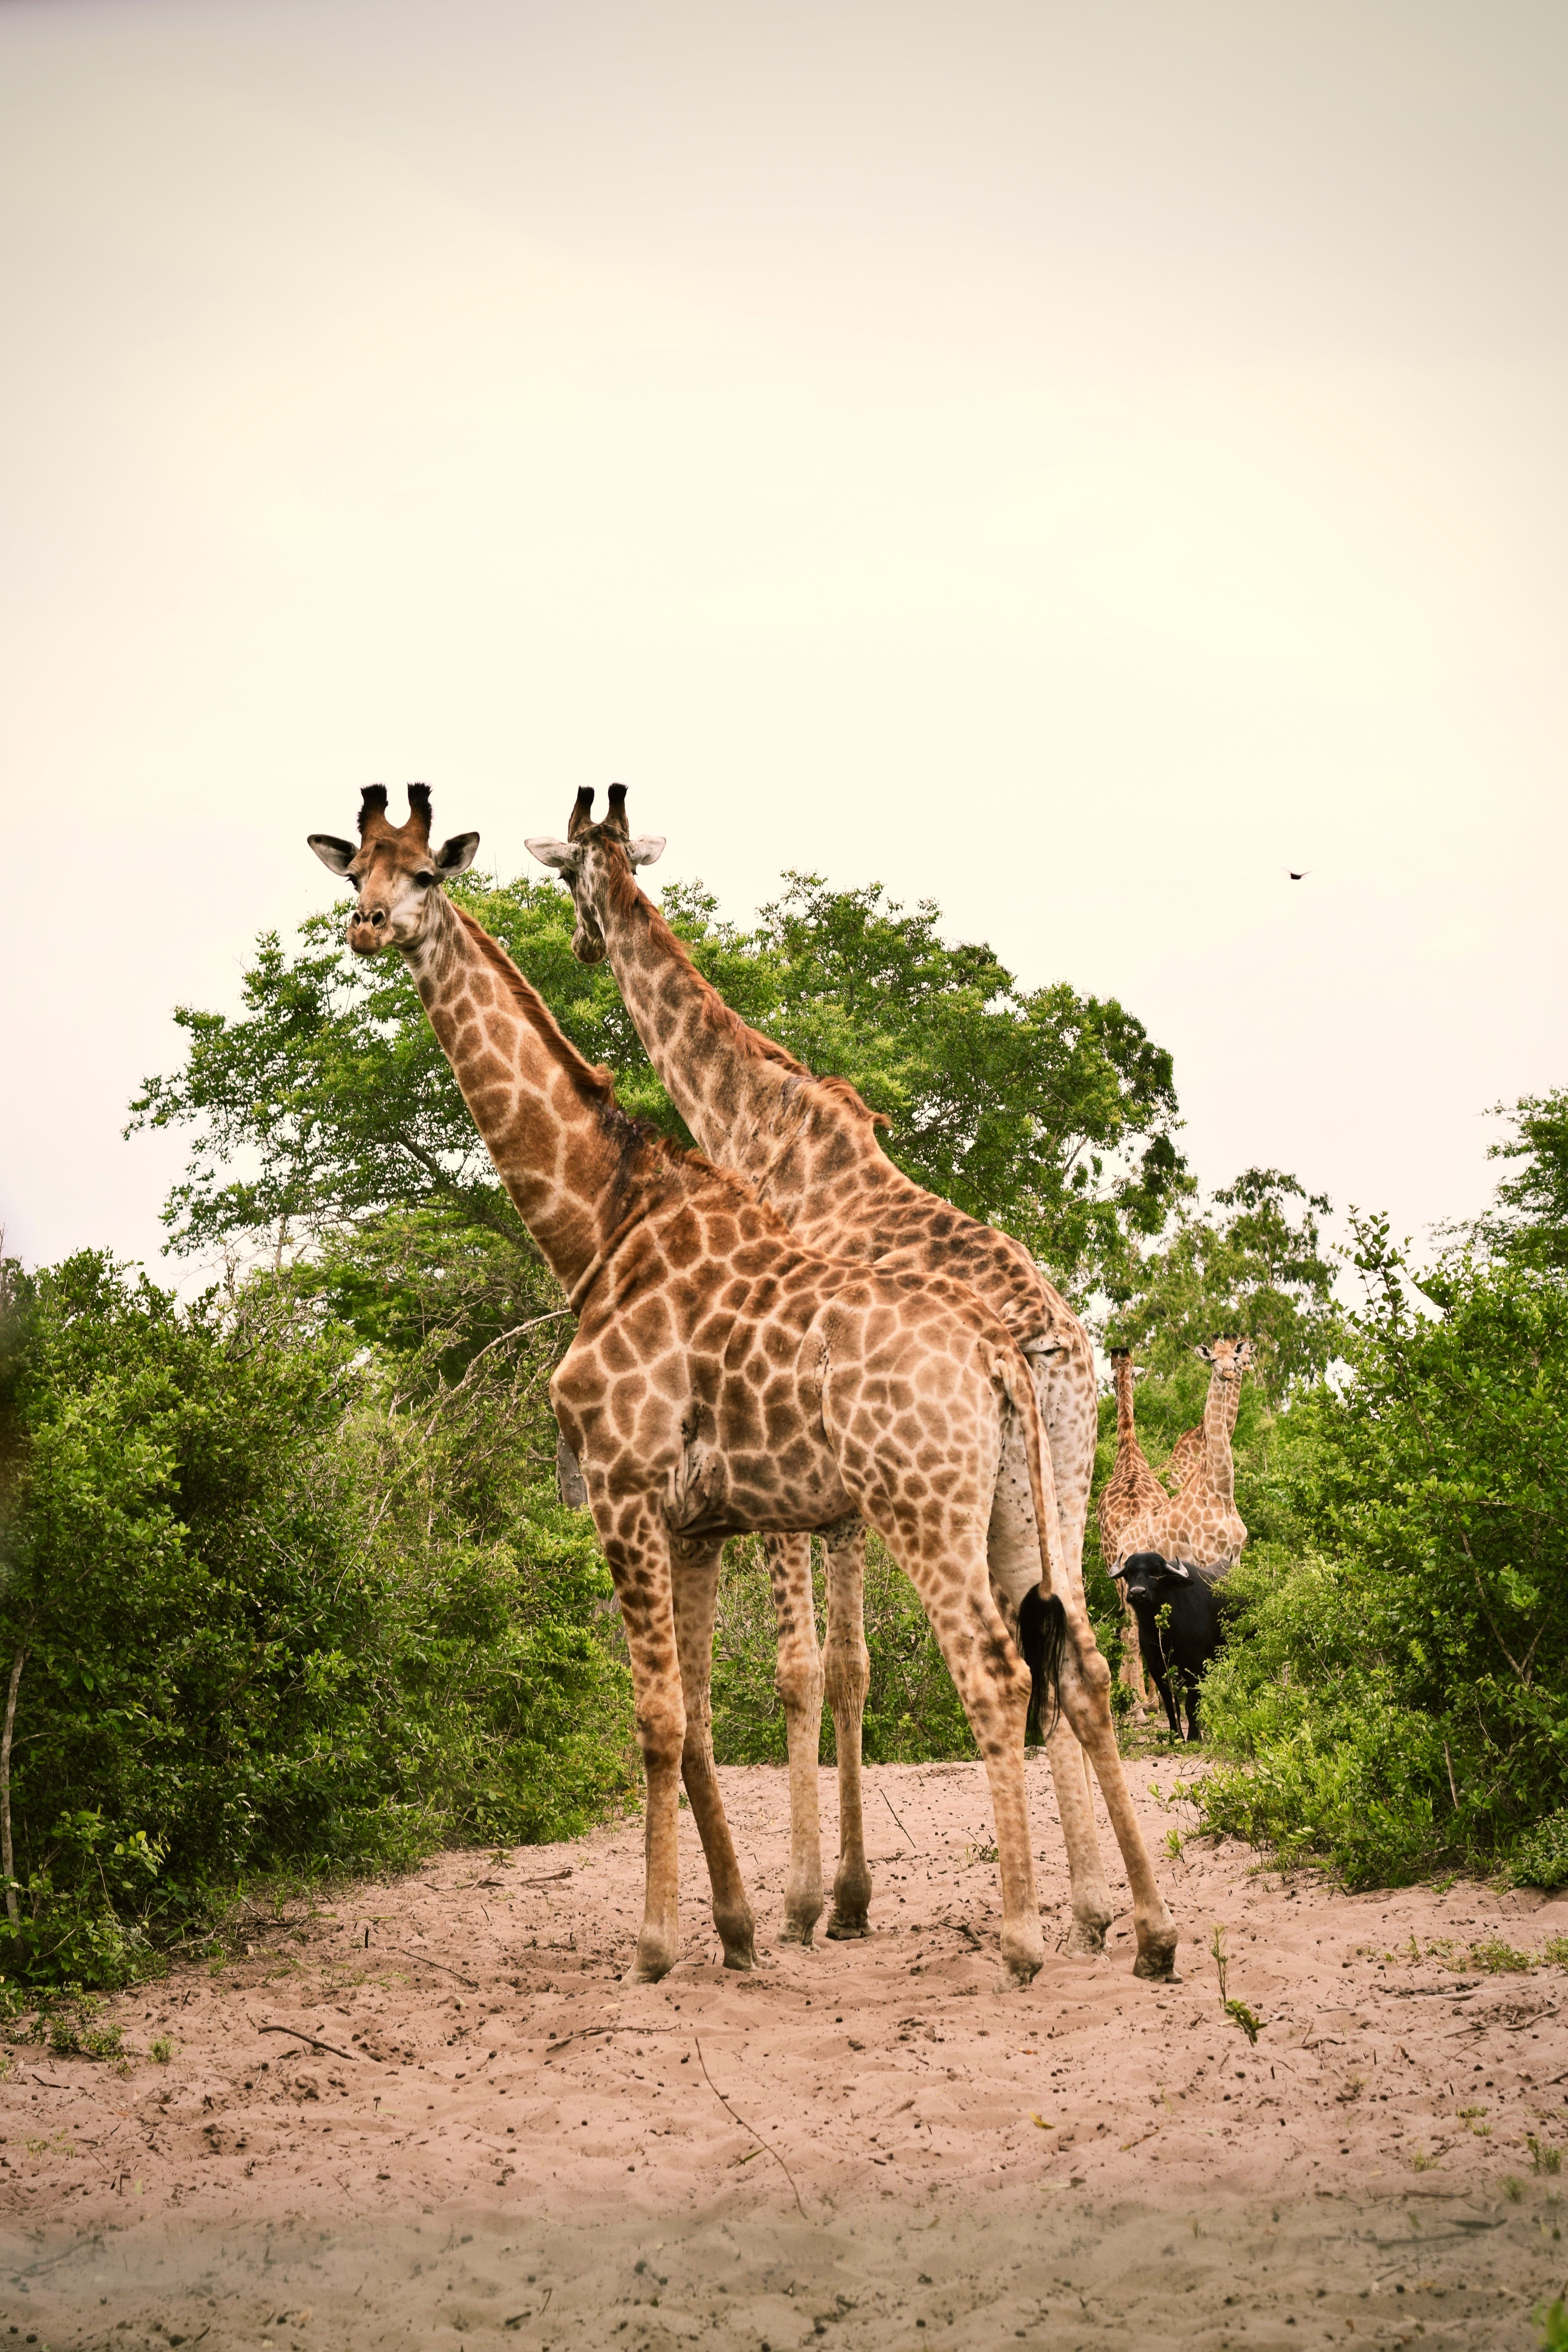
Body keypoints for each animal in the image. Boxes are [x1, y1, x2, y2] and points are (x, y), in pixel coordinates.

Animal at [307, 786, 1178, 1988]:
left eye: (427, 876)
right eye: (356, 875)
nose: (368, 927)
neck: (609, 1217)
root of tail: (1029, 1345)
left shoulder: (652, 1495)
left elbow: (734, 1694)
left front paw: (728, 1927)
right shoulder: (710, 1515)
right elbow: (731, 1704)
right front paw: (746, 1923)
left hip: (931, 1506)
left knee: (998, 1672)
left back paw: (1025, 1936)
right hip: (1041, 1495)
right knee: (1077, 1662)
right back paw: (1132, 1924)